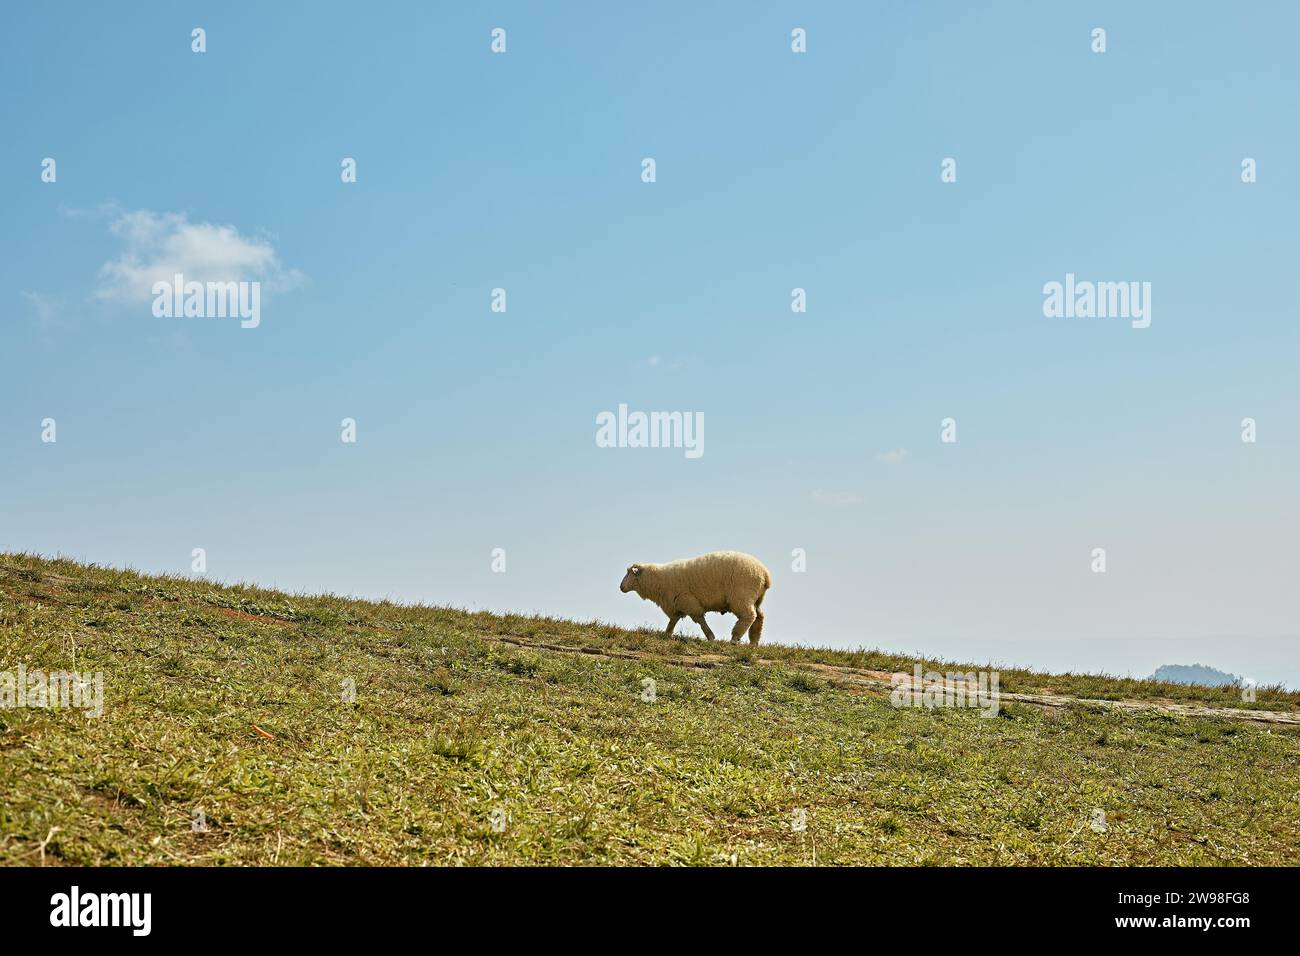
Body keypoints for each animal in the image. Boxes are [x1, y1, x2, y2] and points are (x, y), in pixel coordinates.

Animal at [619, 550, 772, 644]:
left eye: (629, 573)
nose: (621, 587)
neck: (657, 580)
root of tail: (765, 573)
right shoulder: (677, 604)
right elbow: (673, 621)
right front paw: (667, 634)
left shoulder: (688, 601)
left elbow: (700, 620)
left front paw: (710, 637)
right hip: (756, 599)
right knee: (759, 617)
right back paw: (754, 642)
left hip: (741, 596)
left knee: (748, 616)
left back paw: (735, 638)